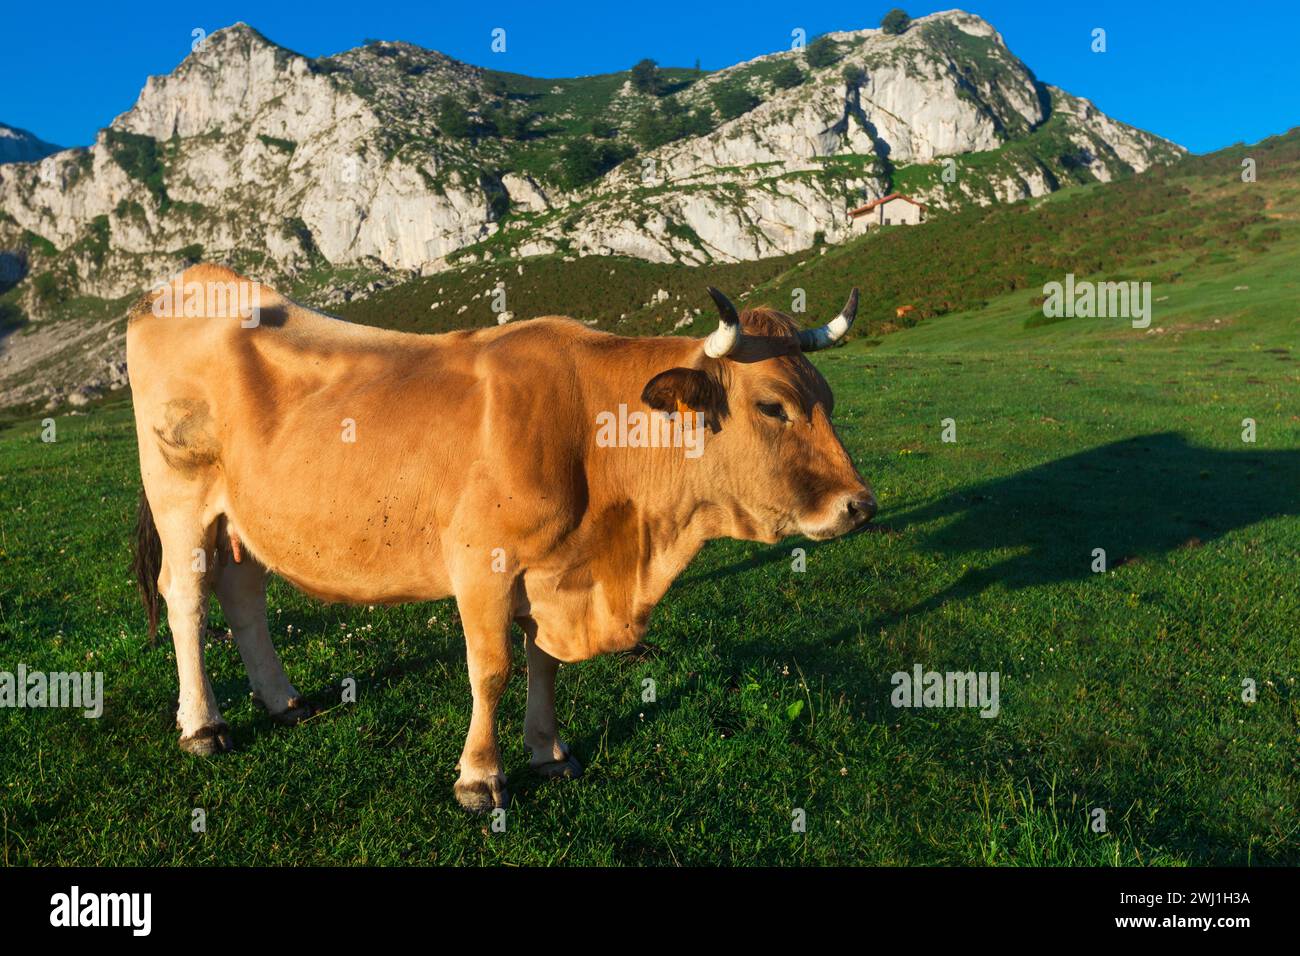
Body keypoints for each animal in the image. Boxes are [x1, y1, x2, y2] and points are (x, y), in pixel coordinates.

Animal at [128, 263, 876, 811]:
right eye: (772, 406)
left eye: (829, 400)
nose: (860, 507)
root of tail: (190, 280)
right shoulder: (480, 564)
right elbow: (492, 670)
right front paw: (480, 777)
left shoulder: (555, 570)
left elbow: (544, 661)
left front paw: (547, 751)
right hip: (180, 497)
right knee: (187, 599)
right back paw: (203, 726)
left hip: (245, 513)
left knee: (243, 594)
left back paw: (284, 702)